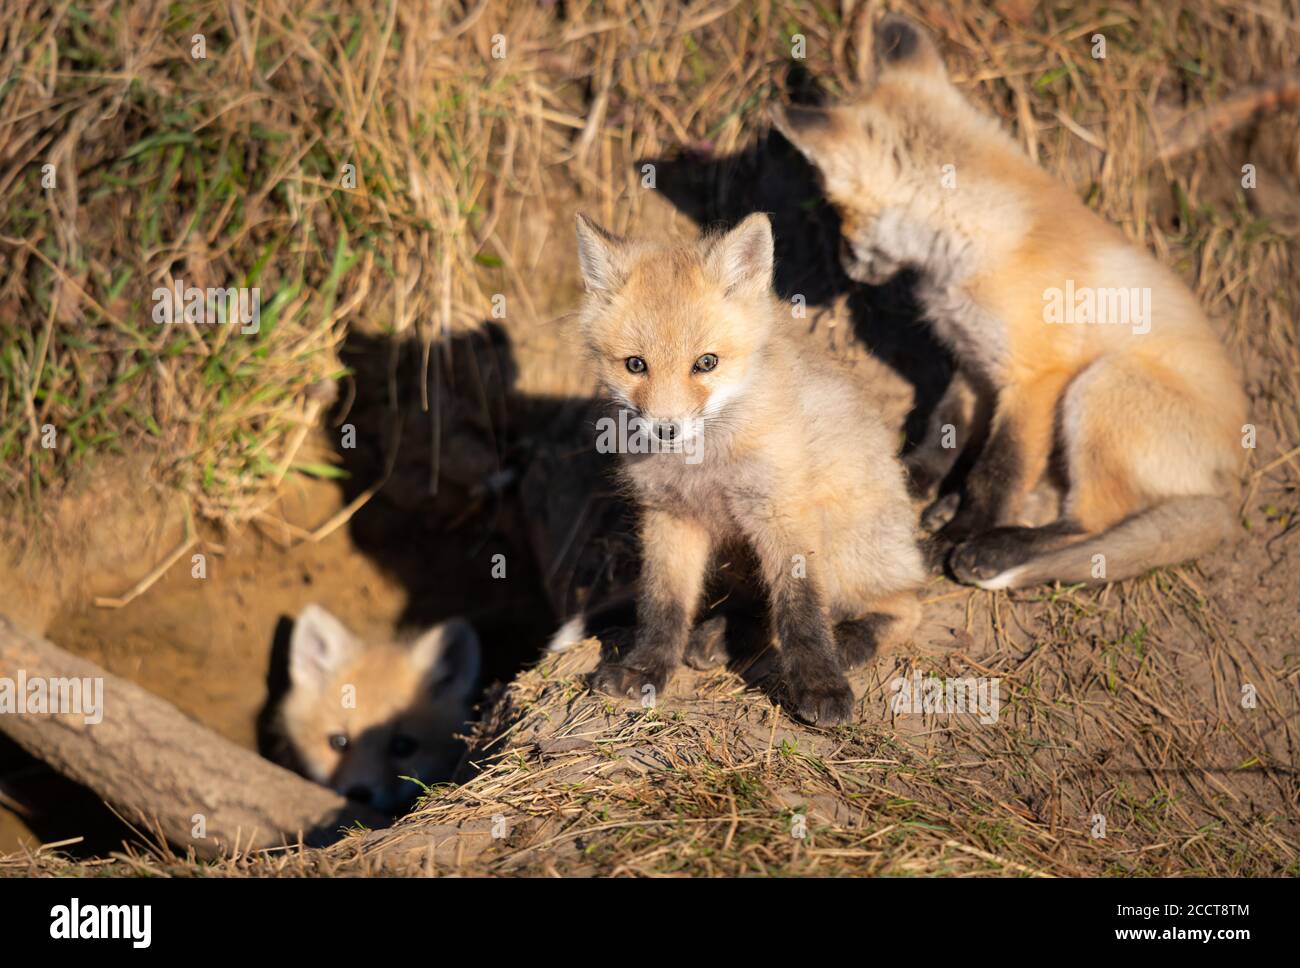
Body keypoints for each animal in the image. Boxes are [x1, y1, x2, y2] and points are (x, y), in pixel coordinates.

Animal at [573, 211, 925, 725]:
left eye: (706, 363)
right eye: (635, 365)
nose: (666, 430)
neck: (705, 469)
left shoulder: (782, 512)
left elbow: (801, 611)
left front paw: (820, 684)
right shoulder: (669, 516)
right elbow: (663, 605)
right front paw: (646, 669)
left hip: (842, 546)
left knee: (905, 603)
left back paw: (852, 640)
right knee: (760, 608)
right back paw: (724, 635)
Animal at [770, 13, 1248, 590]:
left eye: (838, 209)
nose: (845, 266)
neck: (977, 246)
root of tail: (1230, 474)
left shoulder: (1035, 378)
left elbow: (997, 473)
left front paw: (958, 536)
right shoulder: (974, 359)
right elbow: (943, 435)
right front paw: (911, 480)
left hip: (1098, 387)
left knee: (1089, 520)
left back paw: (996, 547)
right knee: (1060, 499)